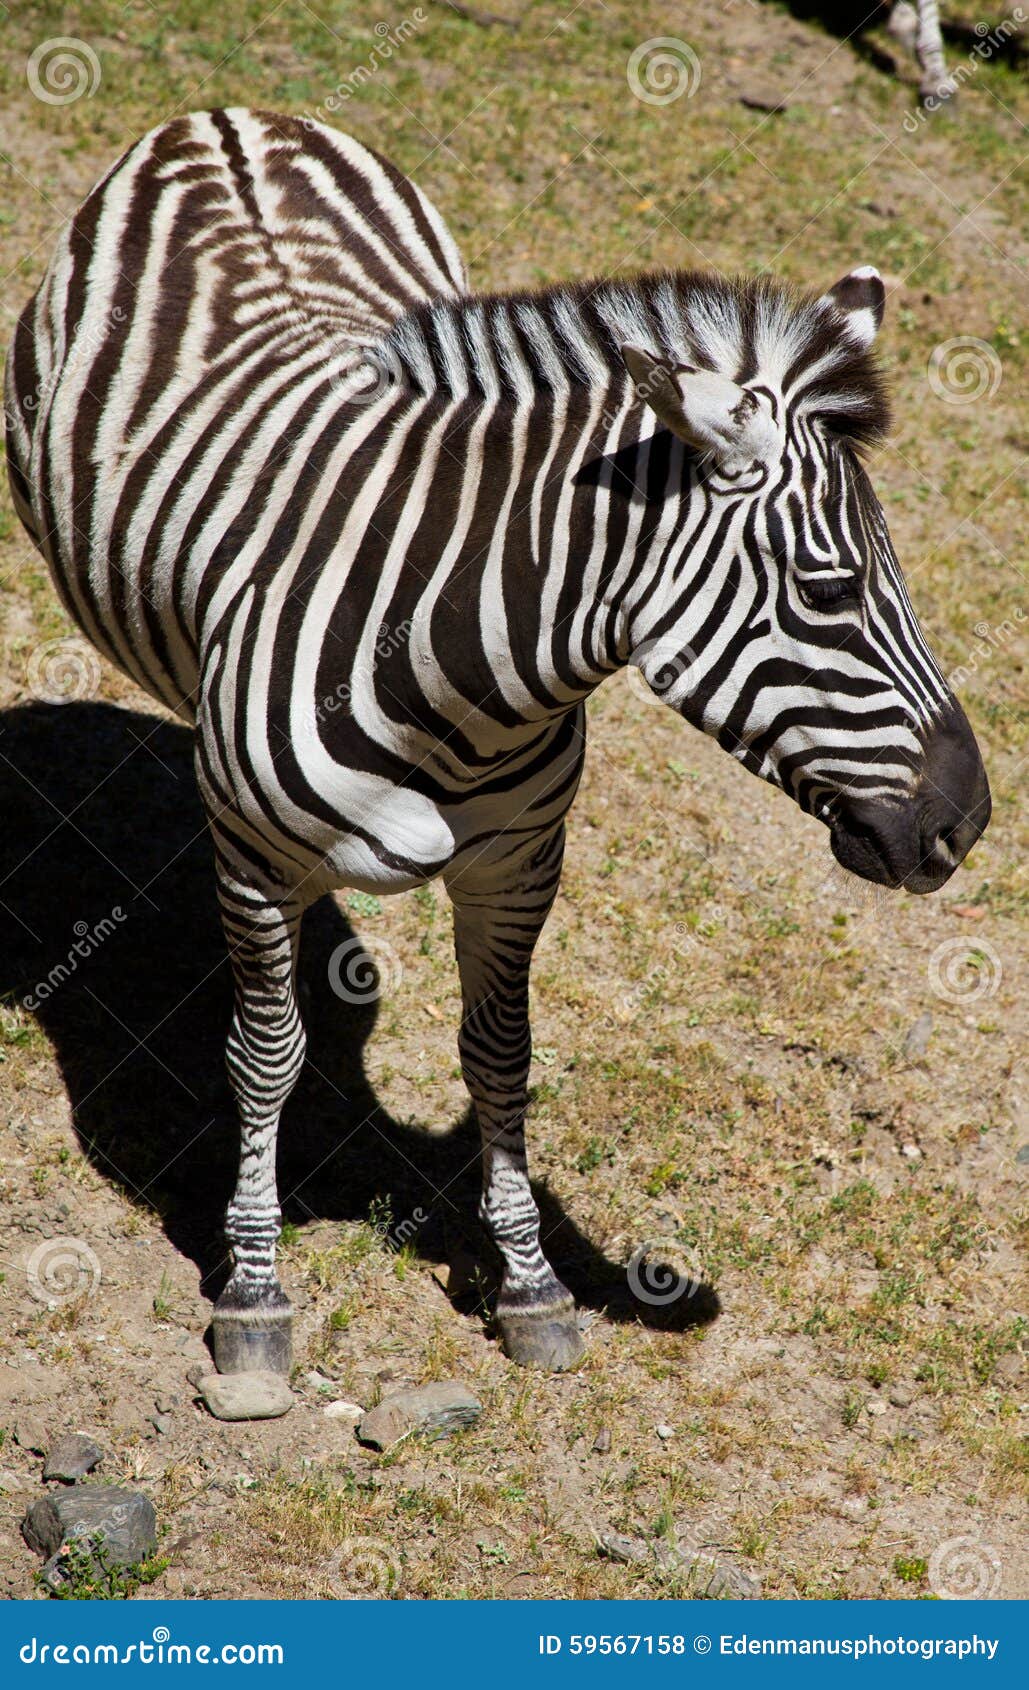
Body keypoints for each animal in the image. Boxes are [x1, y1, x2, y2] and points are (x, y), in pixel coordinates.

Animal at [6, 109, 989, 1377]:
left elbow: (501, 1055)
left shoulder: (519, 865)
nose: (968, 821)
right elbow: (268, 1055)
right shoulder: (264, 866)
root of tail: (226, 118)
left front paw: (527, 1281)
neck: (449, 672)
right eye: (828, 590)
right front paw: (255, 1292)